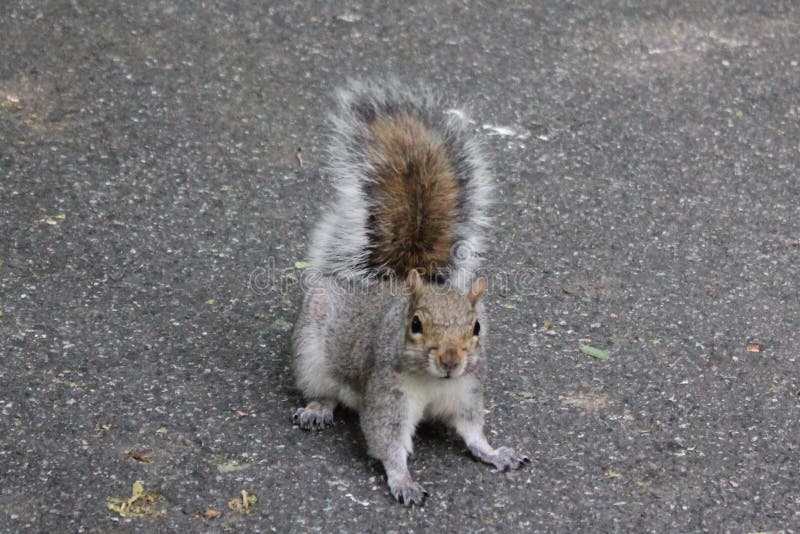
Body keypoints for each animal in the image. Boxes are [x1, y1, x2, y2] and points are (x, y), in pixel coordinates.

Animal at [292, 80, 529, 506]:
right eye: (415, 324)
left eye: (477, 328)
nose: (451, 360)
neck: (436, 382)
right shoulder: (389, 394)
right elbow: (387, 441)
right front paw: (403, 481)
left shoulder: (467, 391)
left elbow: (472, 431)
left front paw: (494, 452)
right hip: (311, 352)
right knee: (325, 389)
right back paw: (317, 408)